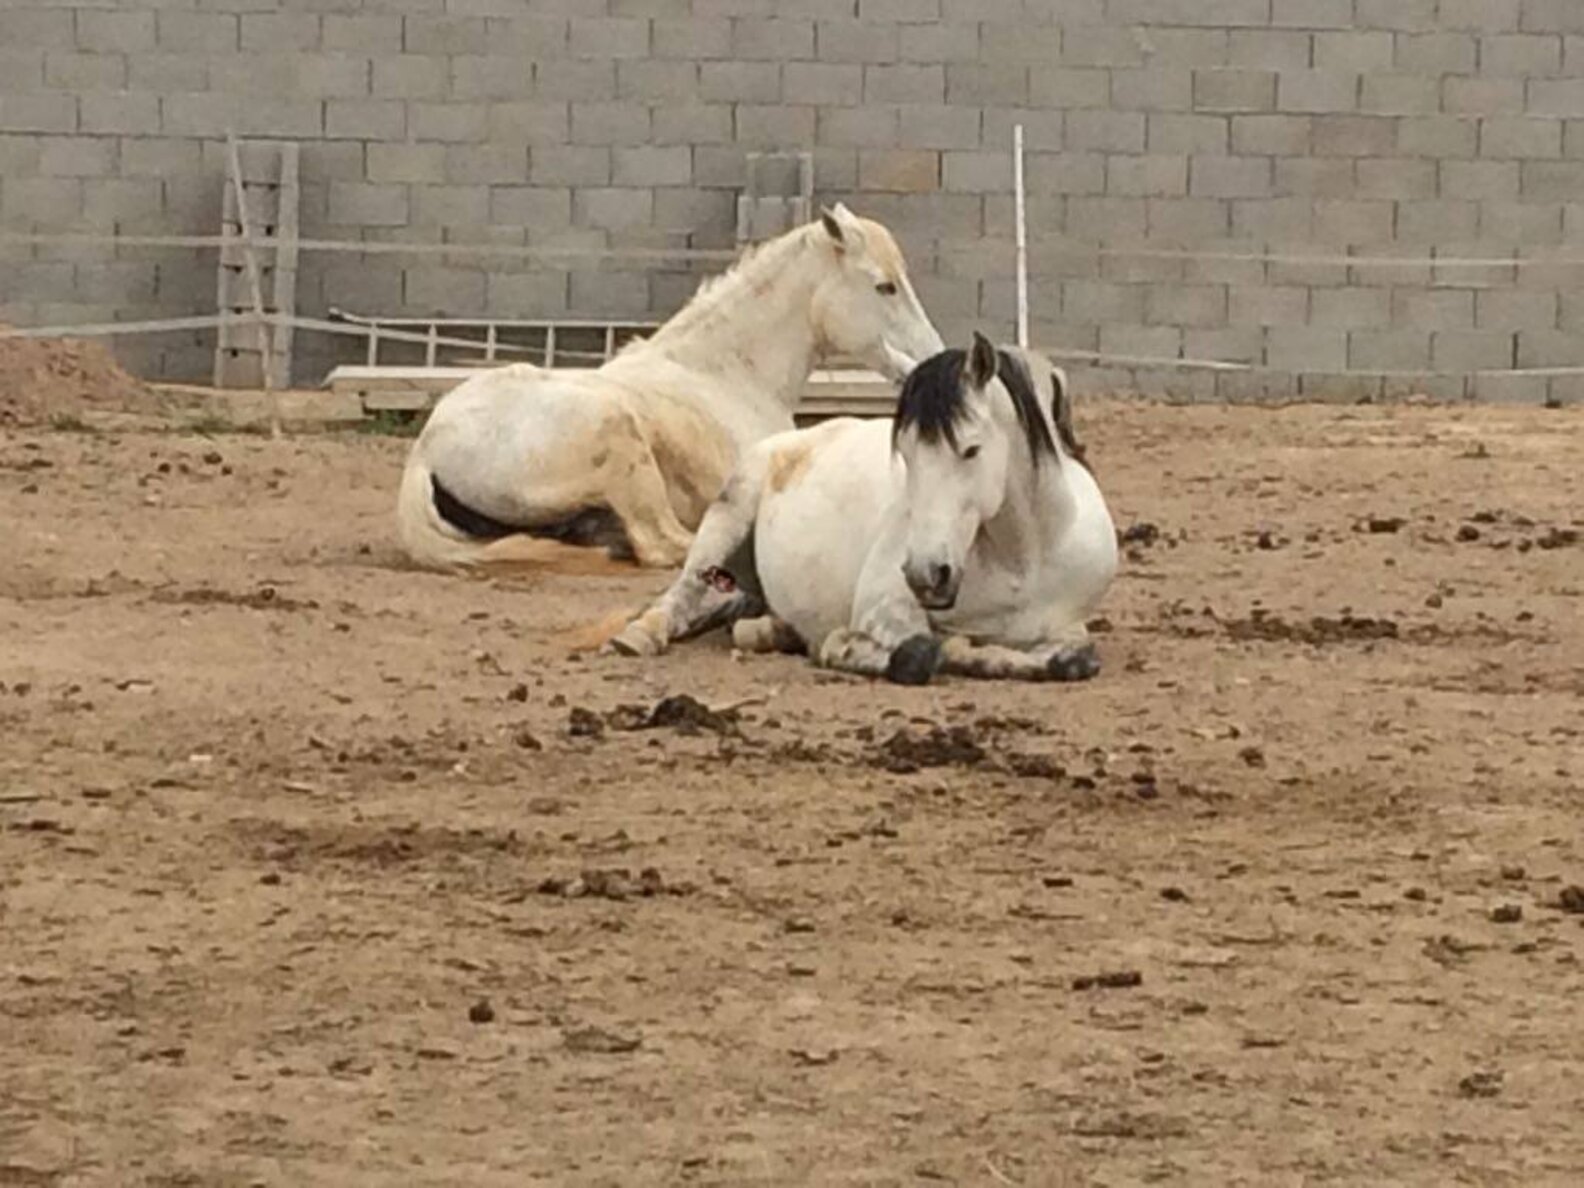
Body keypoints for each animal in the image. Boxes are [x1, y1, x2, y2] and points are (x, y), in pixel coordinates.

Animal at [395, 205, 943, 572]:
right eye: (884, 286)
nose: (932, 358)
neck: (728, 375)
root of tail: (427, 451)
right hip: (619, 442)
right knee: (662, 543)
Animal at [608, 332, 1118, 686]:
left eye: (971, 449)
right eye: (905, 453)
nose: (925, 574)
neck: (1022, 559)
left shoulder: (1067, 628)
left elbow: (1074, 659)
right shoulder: (884, 609)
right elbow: (922, 651)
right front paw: (844, 647)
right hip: (725, 521)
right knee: (682, 594)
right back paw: (638, 637)